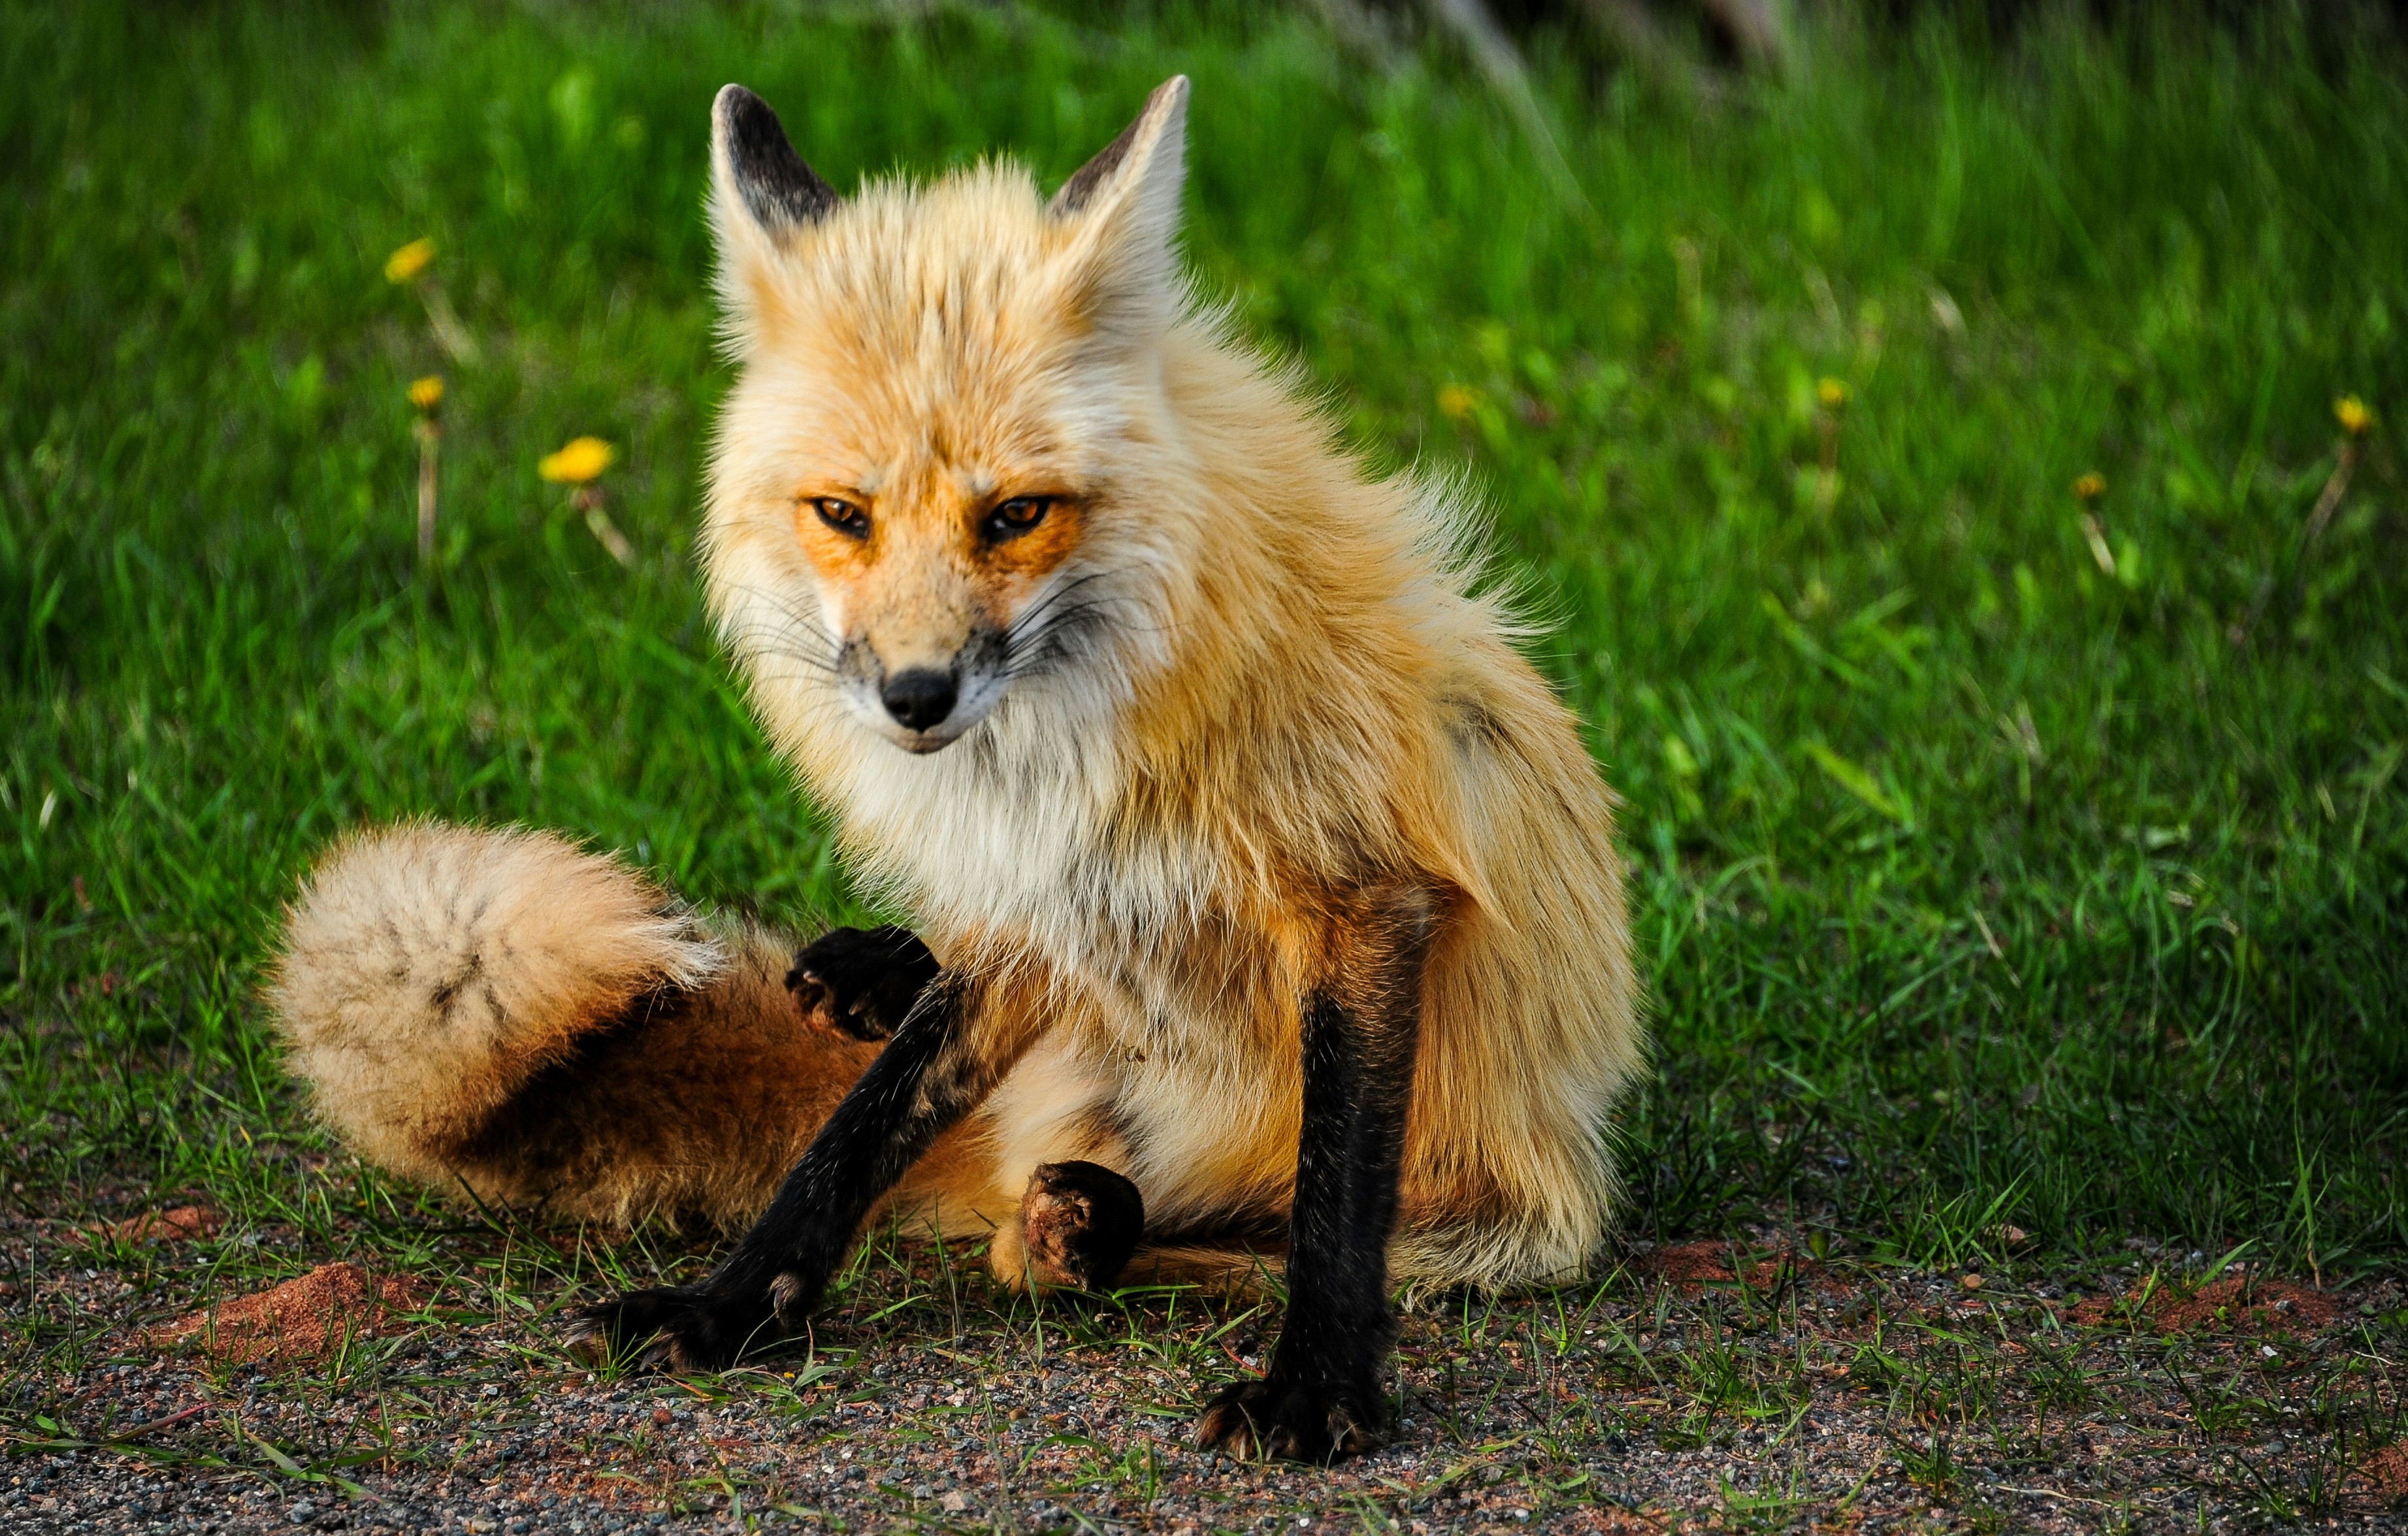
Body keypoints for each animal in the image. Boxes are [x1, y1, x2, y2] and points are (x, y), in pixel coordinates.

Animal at [268, 77, 1643, 1463]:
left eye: (1016, 515)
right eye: (843, 515)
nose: (915, 695)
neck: (1062, 756)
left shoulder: (1363, 891)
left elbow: (1333, 1194)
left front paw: (1318, 1383)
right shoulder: (1029, 904)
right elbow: (855, 1131)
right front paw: (733, 1305)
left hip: (1503, 1225)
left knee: (1178, 1239)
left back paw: (1082, 1222)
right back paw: (906, 1018)